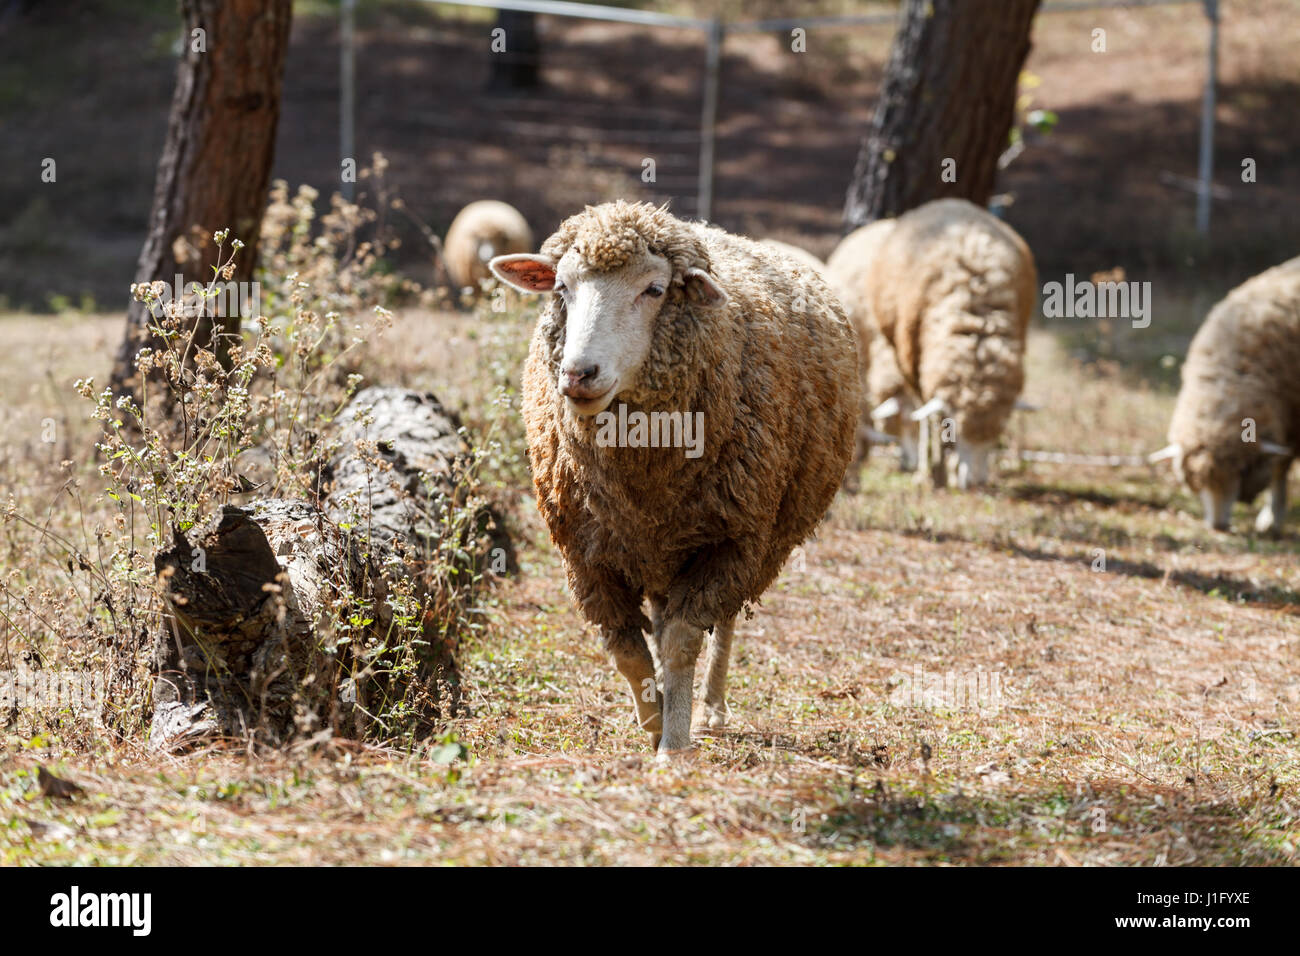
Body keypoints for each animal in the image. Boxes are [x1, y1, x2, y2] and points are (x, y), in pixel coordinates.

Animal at [490, 201, 861, 755]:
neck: (642, 478)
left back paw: (711, 710)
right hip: (662, 550)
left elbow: (685, 641)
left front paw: (674, 740)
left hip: (751, 542)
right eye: (561, 287)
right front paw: (651, 719)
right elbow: (626, 650)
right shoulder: (586, 553)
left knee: (721, 624)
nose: (578, 374)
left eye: (655, 289)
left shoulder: (729, 541)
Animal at [859, 198, 1037, 488]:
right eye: (956, 433)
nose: (975, 484)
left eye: (997, 432)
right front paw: (937, 469)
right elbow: (930, 420)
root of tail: (950, 201)